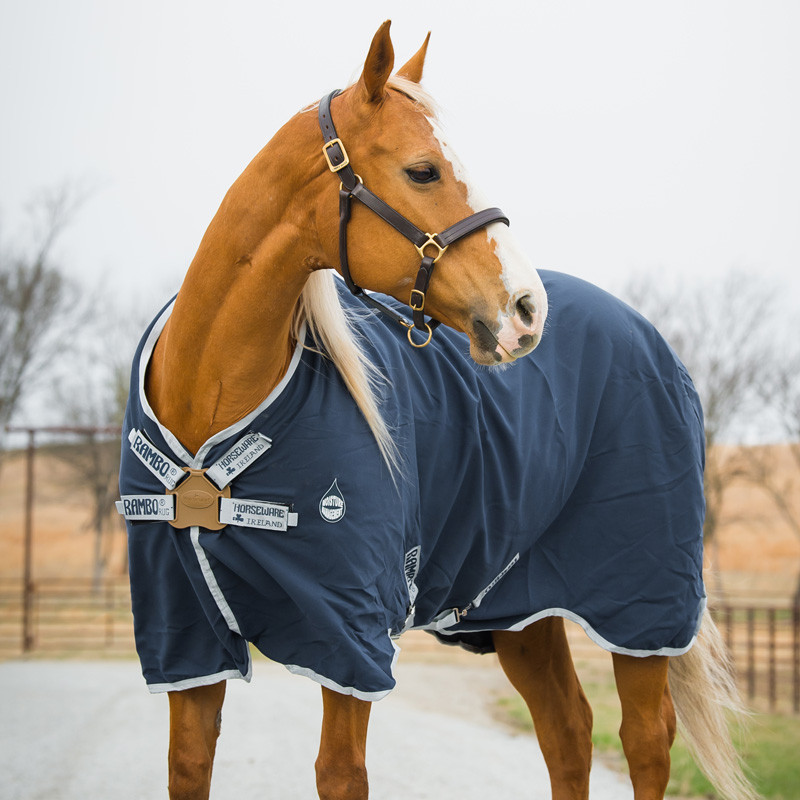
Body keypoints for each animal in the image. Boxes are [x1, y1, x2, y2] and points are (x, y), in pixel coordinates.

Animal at [117, 21, 756, 800]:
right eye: (423, 171)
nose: (526, 309)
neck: (211, 408)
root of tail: (648, 337)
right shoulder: (184, 641)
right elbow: (188, 763)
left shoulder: (350, 636)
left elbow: (340, 772)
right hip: (523, 612)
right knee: (568, 731)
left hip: (639, 601)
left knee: (644, 739)